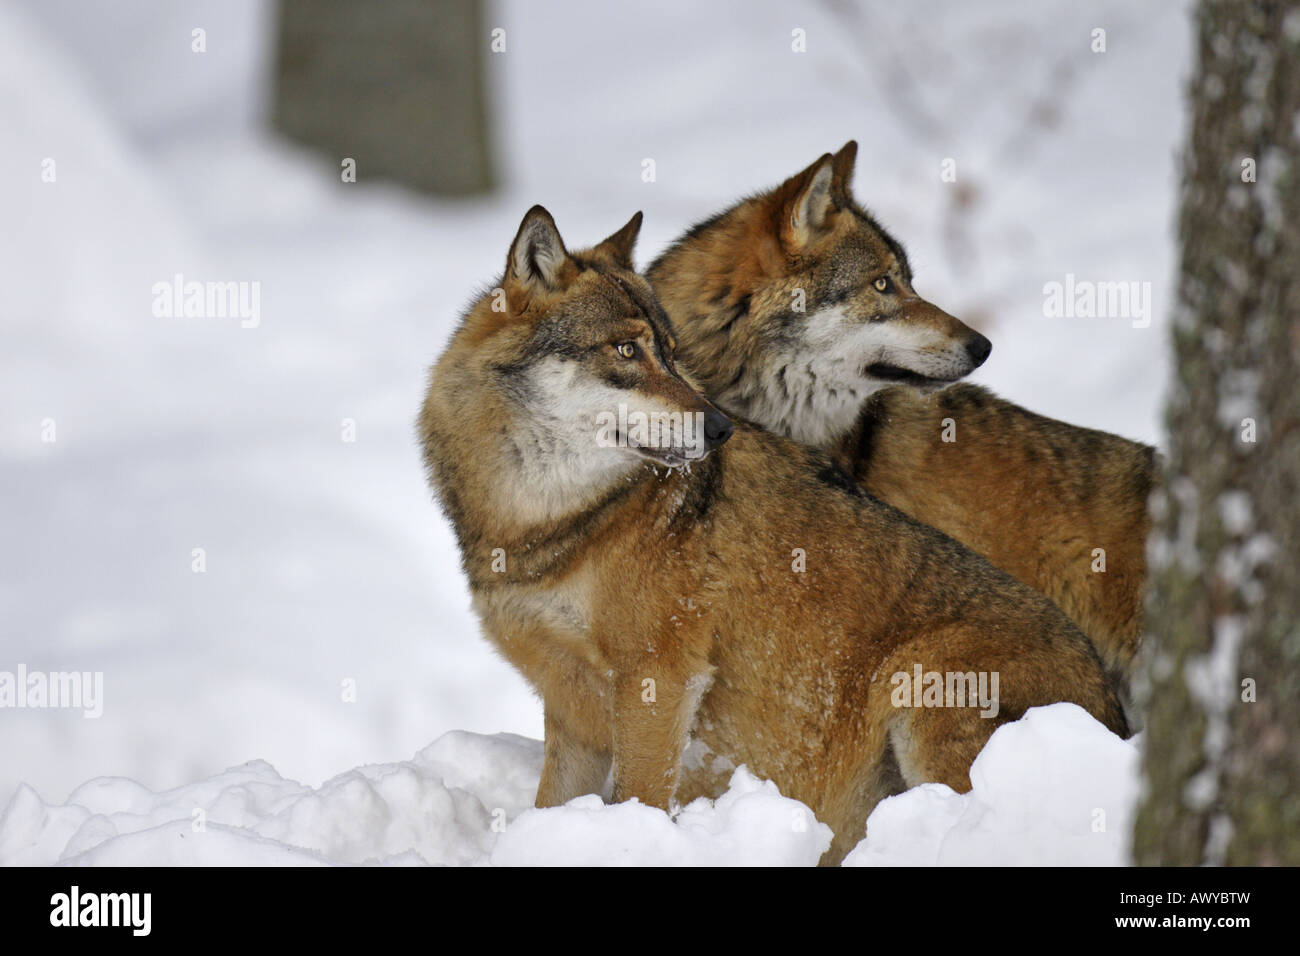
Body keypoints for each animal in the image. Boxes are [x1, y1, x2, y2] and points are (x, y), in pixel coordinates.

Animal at [419, 206, 1129, 864]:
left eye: (670, 352)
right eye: (626, 351)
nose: (720, 428)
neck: (548, 522)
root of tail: (1114, 711)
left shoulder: (659, 680)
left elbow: (637, 799)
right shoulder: (571, 709)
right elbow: (553, 806)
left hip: (921, 677)